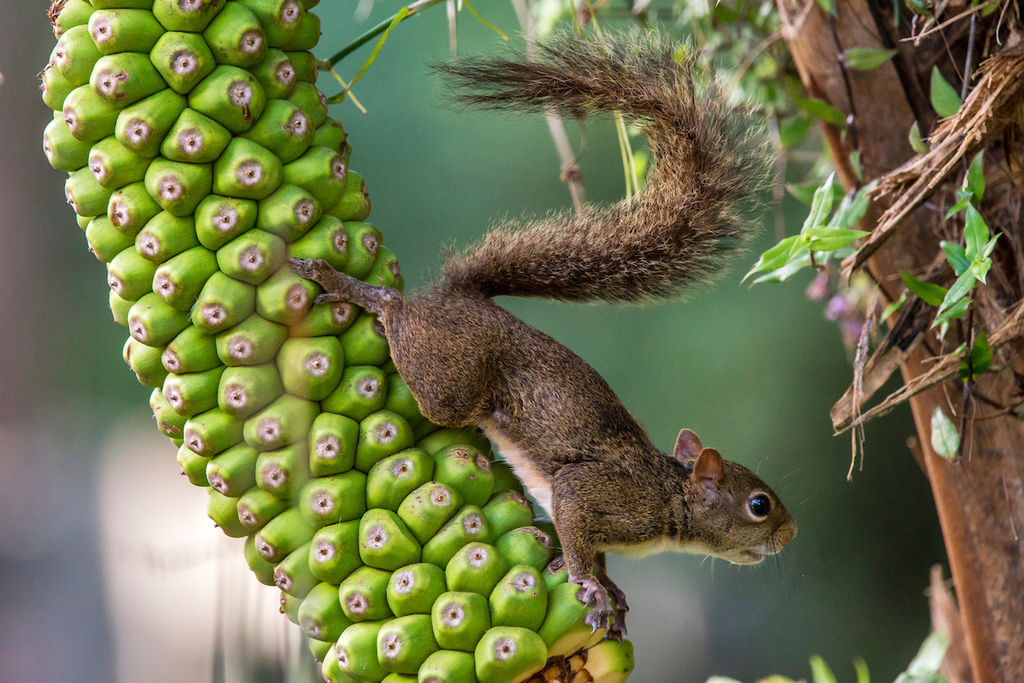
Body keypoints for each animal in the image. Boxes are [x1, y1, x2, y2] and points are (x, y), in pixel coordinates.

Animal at [292, 32, 796, 641]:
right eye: (759, 505)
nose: (791, 535)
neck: (670, 498)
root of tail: (462, 297)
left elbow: (591, 553)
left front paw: (607, 588)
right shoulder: (596, 493)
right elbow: (581, 541)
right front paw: (589, 586)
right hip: (450, 385)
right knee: (398, 315)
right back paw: (355, 289)